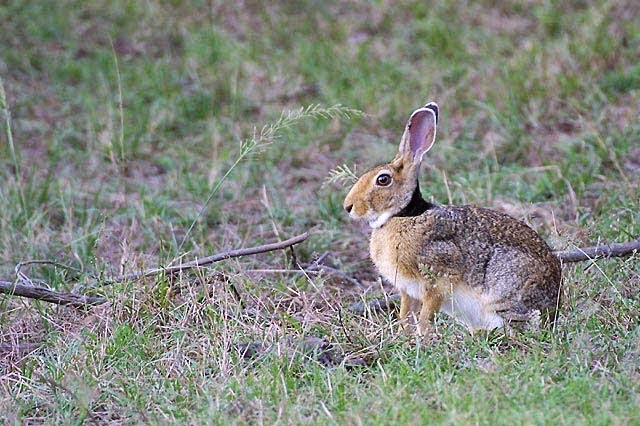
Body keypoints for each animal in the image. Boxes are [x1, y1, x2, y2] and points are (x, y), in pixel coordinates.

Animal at [343, 102, 561, 334]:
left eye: (383, 180)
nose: (348, 206)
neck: (403, 215)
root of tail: (553, 309)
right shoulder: (408, 290)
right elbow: (406, 314)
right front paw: (404, 335)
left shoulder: (437, 279)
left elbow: (426, 314)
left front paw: (422, 336)